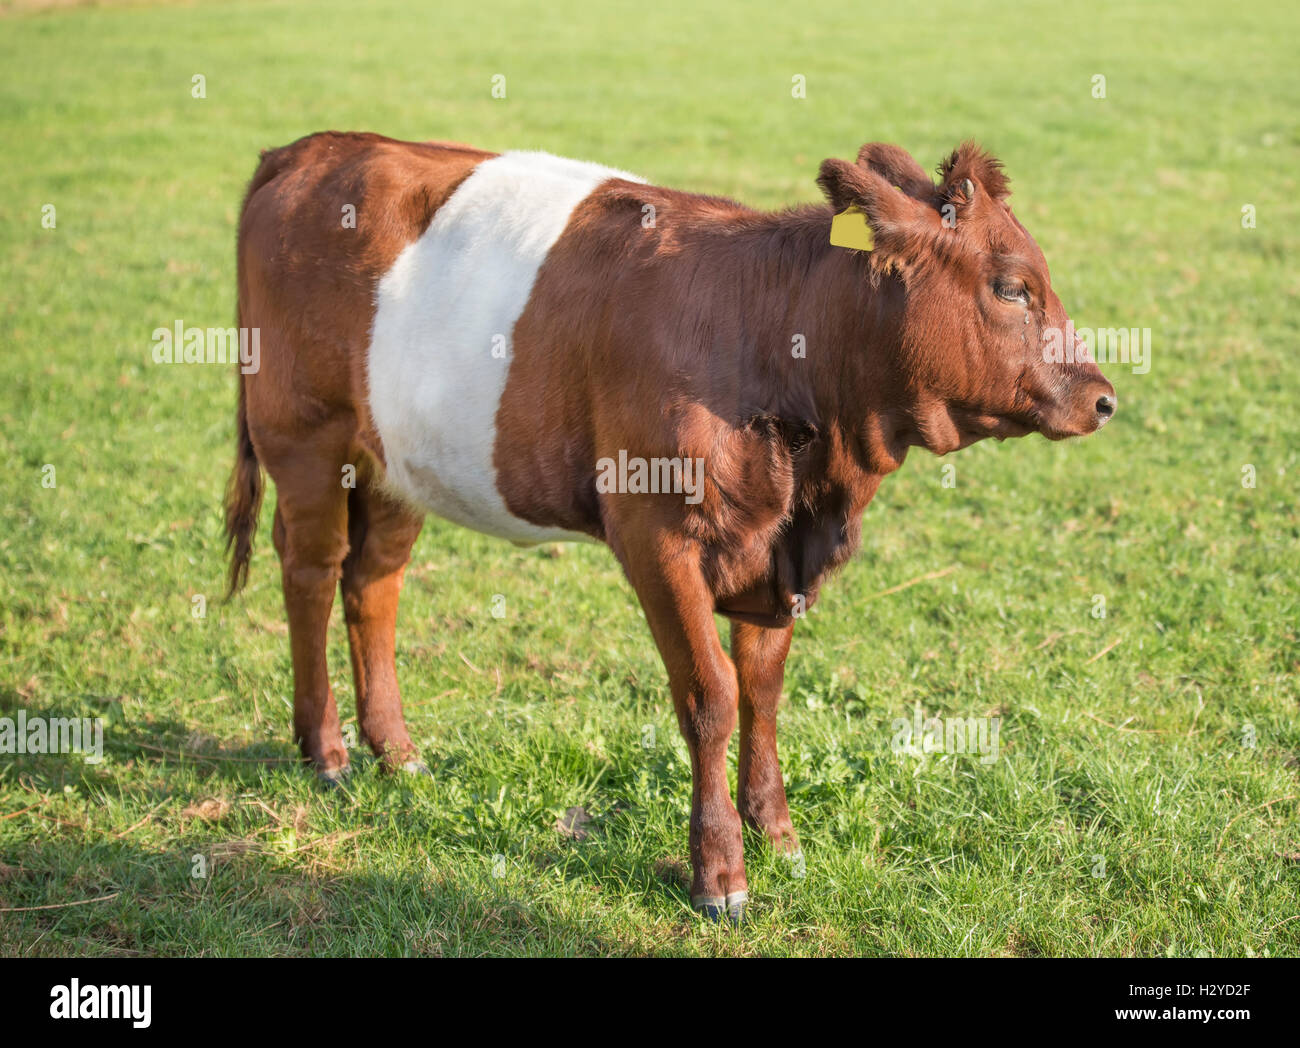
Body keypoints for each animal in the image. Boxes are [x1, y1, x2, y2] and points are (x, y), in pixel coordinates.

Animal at [225, 133, 1115, 922]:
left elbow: (762, 689)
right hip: (304, 438)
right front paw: (719, 873)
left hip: (394, 460)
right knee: (311, 572)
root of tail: (303, 150)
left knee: (373, 582)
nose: (1102, 397)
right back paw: (327, 751)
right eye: (1011, 286)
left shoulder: (776, 556)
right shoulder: (658, 537)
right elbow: (710, 695)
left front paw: (777, 833)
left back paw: (396, 752)